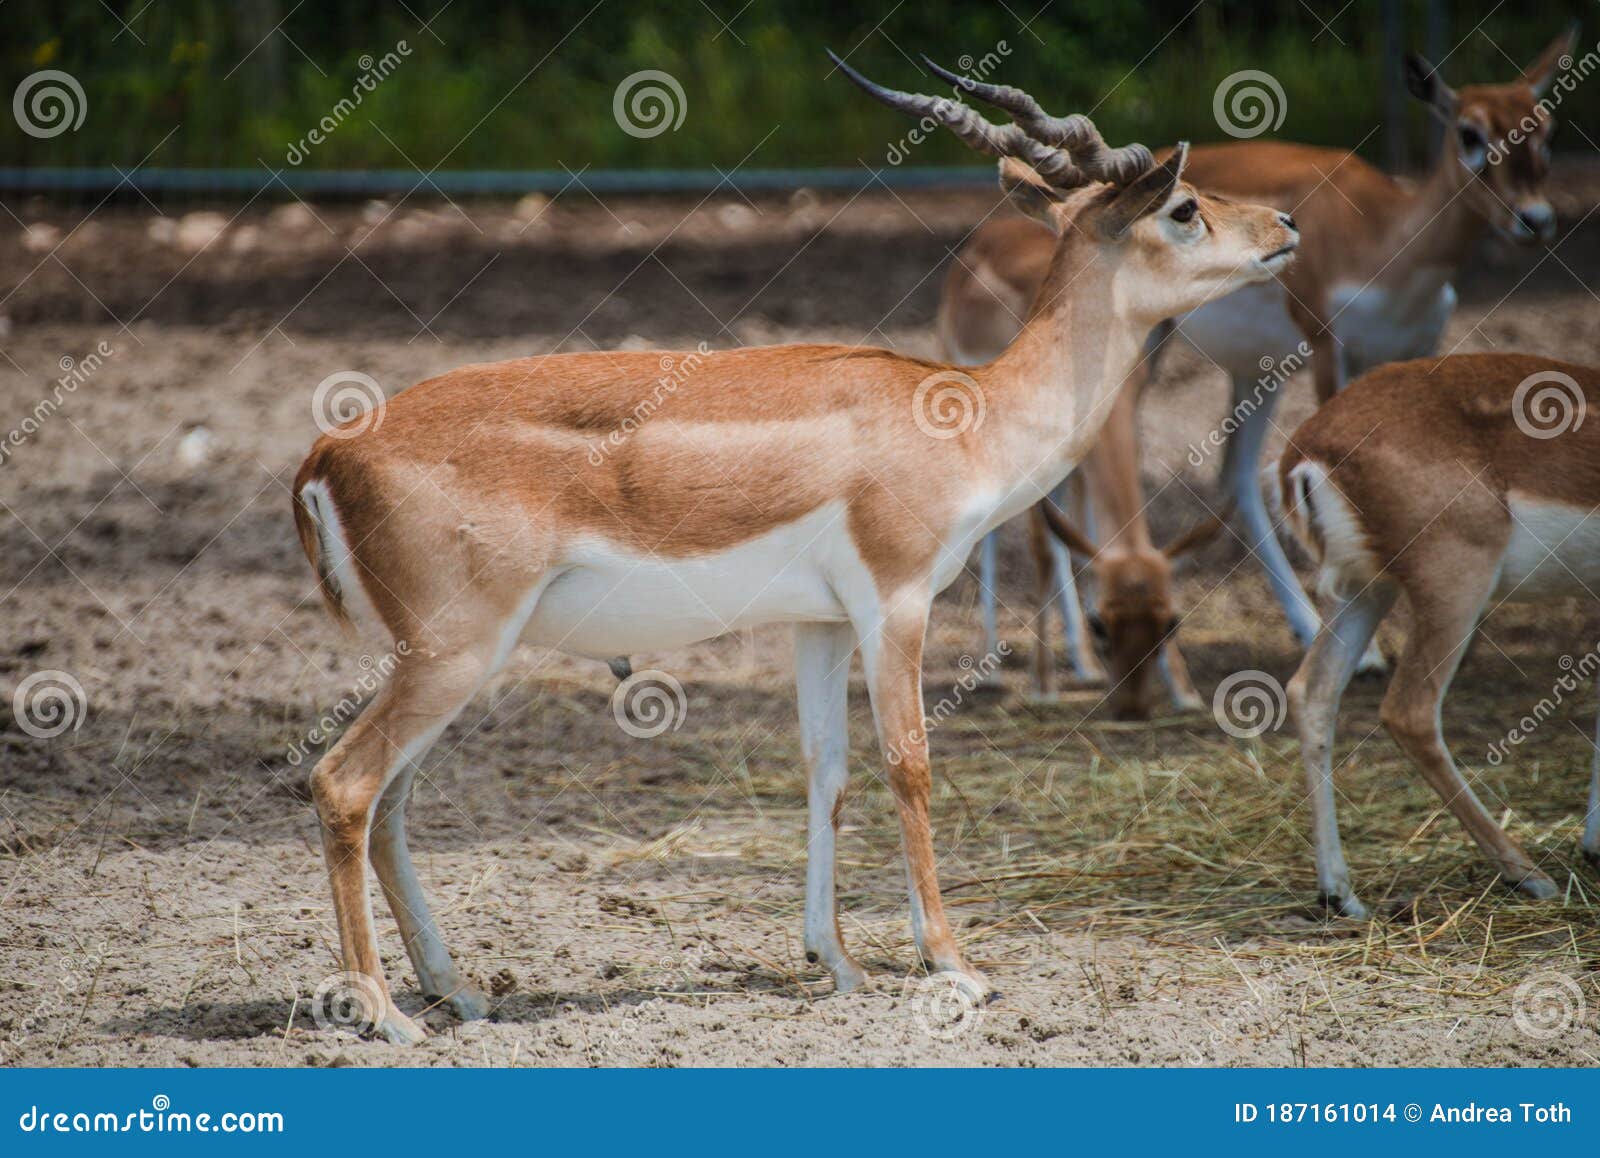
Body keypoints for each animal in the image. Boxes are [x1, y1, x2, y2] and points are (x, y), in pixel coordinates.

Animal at [941, 236, 1232, 719]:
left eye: (1171, 622)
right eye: (1102, 623)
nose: (1132, 710)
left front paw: (1185, 691)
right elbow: (1044, 550)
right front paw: (1042, 684)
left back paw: (1083, 666)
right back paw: (995, 669)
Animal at [956, 28, 1576, 678]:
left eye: (1545, 129)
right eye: (1470, 133)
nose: (1535, 220)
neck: (1389, 241)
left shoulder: (1415, 348)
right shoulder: (1329, 346)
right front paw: (1368, 651)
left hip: (1255, 372)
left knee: (1228, 476)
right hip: (1157, 351)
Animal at [1279, 352, 1599, 919]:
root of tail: (1309, 451)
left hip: (1367, 588)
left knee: (1310, 692)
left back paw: (1340, 893)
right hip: (1456, 583)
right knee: (1409, 711)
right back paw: (1530, 877)